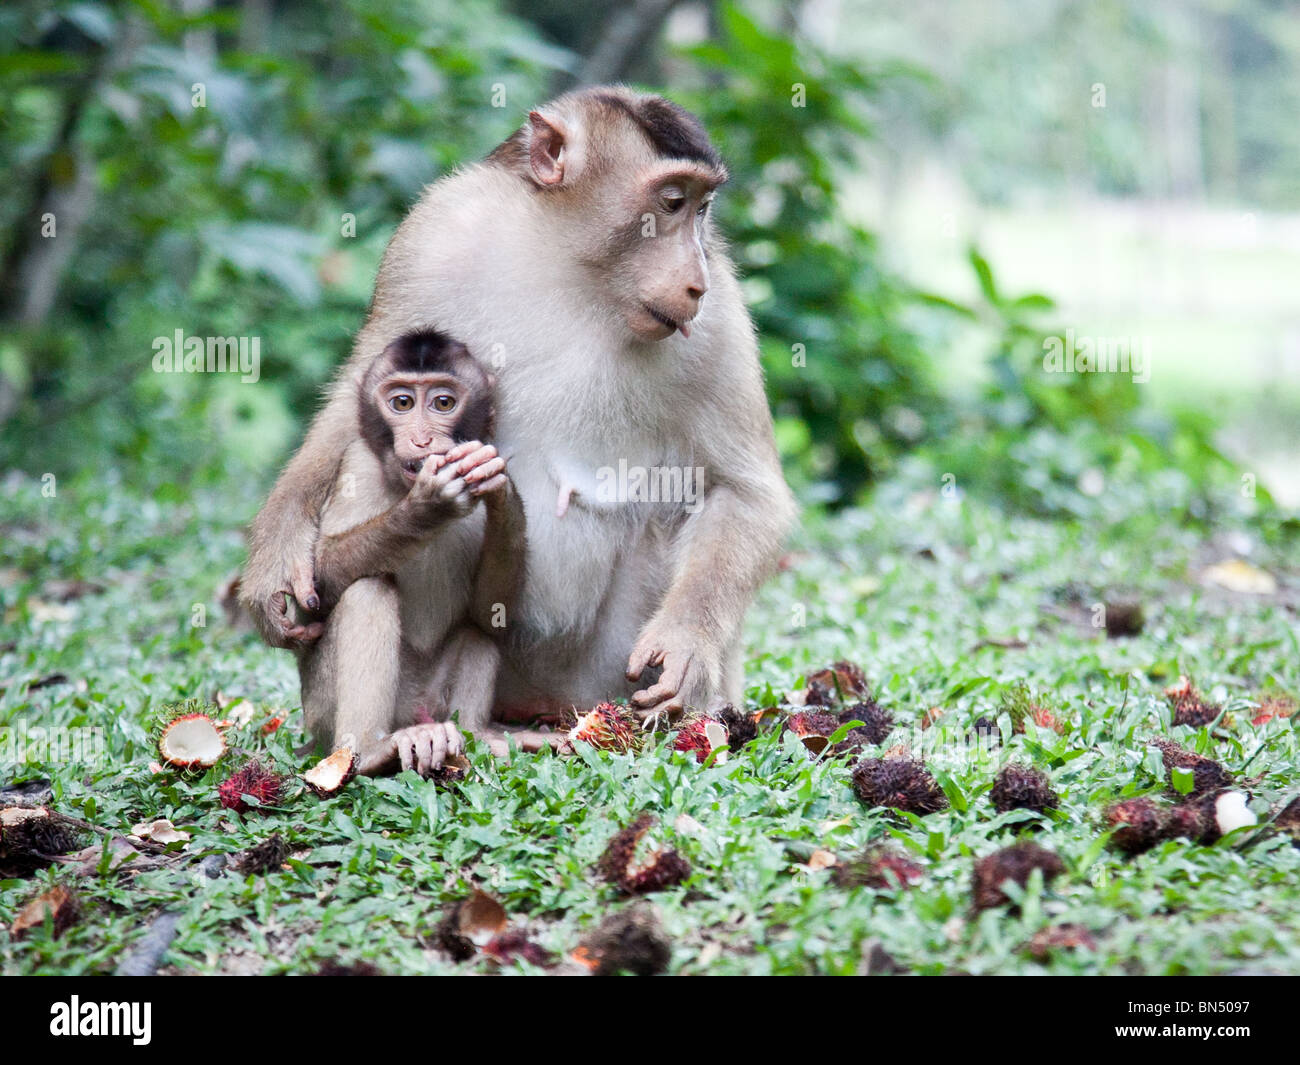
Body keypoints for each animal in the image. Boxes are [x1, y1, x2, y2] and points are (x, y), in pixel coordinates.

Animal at [294, 329, 524, 776]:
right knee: (368, 588)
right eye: (401, 403)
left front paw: (501, 490)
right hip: (323, 711)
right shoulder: (357, 465)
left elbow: (493, 608)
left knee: (480, 629)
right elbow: (322, 569)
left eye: (443, 403)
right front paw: (428, 507)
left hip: (433, 701)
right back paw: (370, 751)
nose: (421, 439)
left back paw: (478, 740)